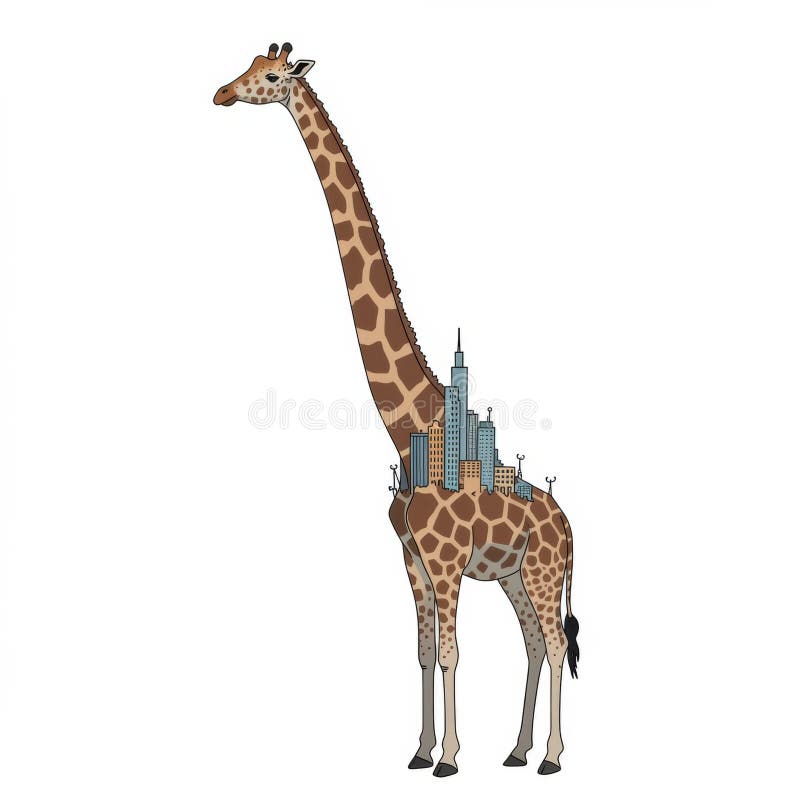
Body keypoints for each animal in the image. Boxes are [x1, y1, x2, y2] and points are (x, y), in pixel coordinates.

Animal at [213, 43, 581, 778]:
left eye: (272, 77)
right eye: (247, 66)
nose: (222, 93)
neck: (410, 423)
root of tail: (569, 525)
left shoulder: (443, 560)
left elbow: (451, 653)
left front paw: (449, 759)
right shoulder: (410, 558)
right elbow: (421, 651)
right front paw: (419, 750)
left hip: (542, 569)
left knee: (555, 645)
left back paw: (552, 757)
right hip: (515, 575)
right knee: (533, 642)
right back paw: (517, 750)